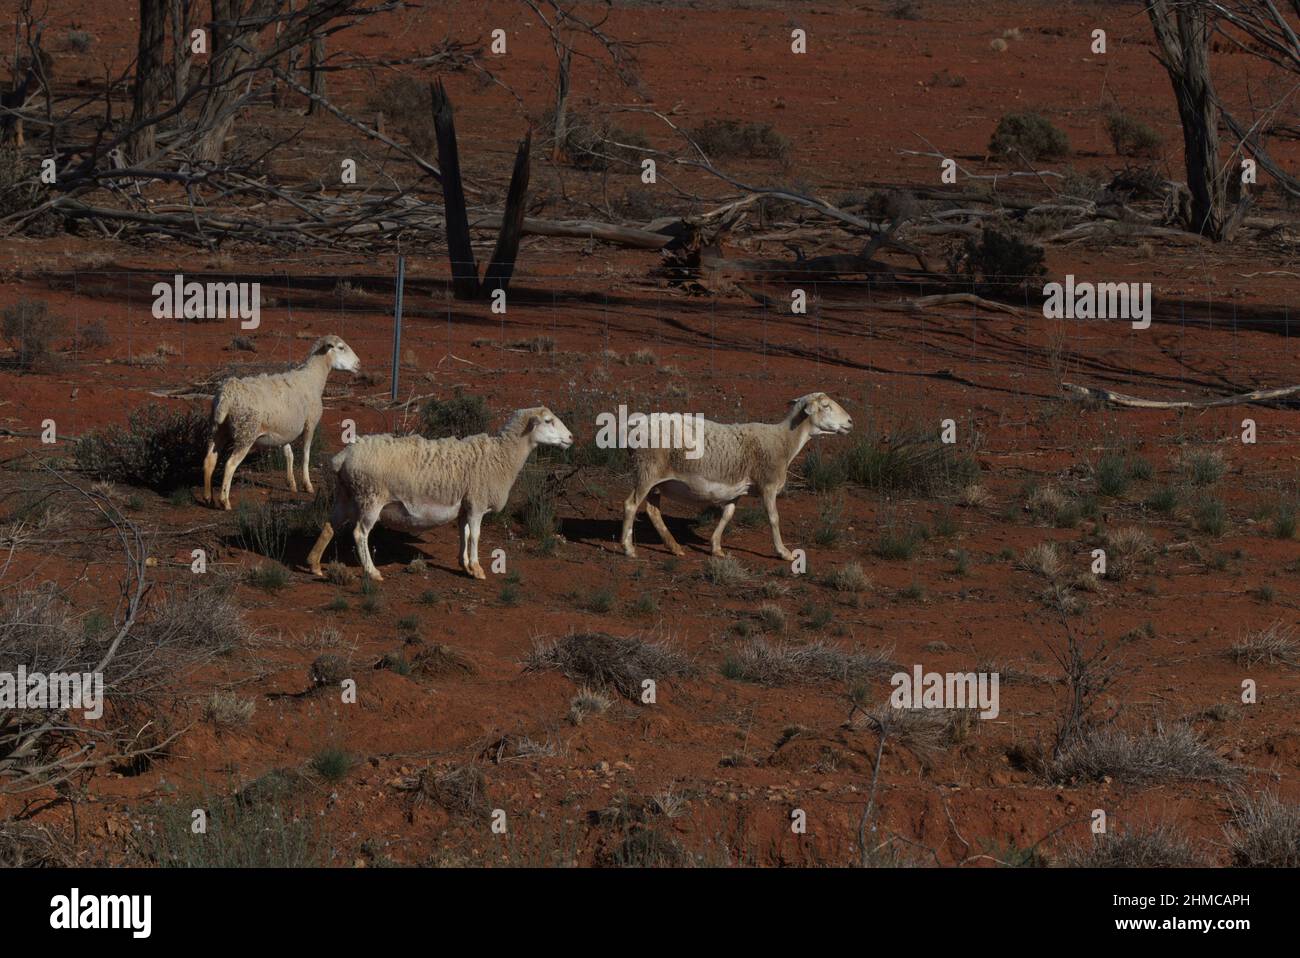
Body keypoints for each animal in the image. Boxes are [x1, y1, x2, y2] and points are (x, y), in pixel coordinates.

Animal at [202, 335, 361, 510]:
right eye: (341, 347)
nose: (359, 363)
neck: (312, 378)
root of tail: (226, 395)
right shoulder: (310, 424)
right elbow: (305, 455)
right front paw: (307, 485)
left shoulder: (284, 431)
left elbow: (289, 454)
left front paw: (291, 484)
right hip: (246, 433)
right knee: (229, 465)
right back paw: (225, 501)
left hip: (217, 429)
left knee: (209, 460)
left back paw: (208, 498)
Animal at [306, 407, 574, 581]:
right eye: (548, 420)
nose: (571, 437)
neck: (501, 456)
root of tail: (343, 458)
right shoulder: (477, 503)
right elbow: (475, 535)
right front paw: (477, 569)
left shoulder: (465, 505)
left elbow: (464, 534)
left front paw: (464, 565)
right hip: (371, 497)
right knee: (360, 533)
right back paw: (372, 572)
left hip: (347, 495)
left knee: (330, 525)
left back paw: (314, 564)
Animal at [621, 392, 853, 560]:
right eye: (826, 406)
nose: (850, 421)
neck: (784, 441)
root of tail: (631, 428)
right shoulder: (768, 485)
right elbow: (774, 518)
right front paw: (784, 552)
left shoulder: (737, 488)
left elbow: (728, 515)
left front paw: (716, 548)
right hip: (647, 470)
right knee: (631, 505)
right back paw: (628, 548)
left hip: (657, 479)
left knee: (652, 511)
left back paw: (674, 547)